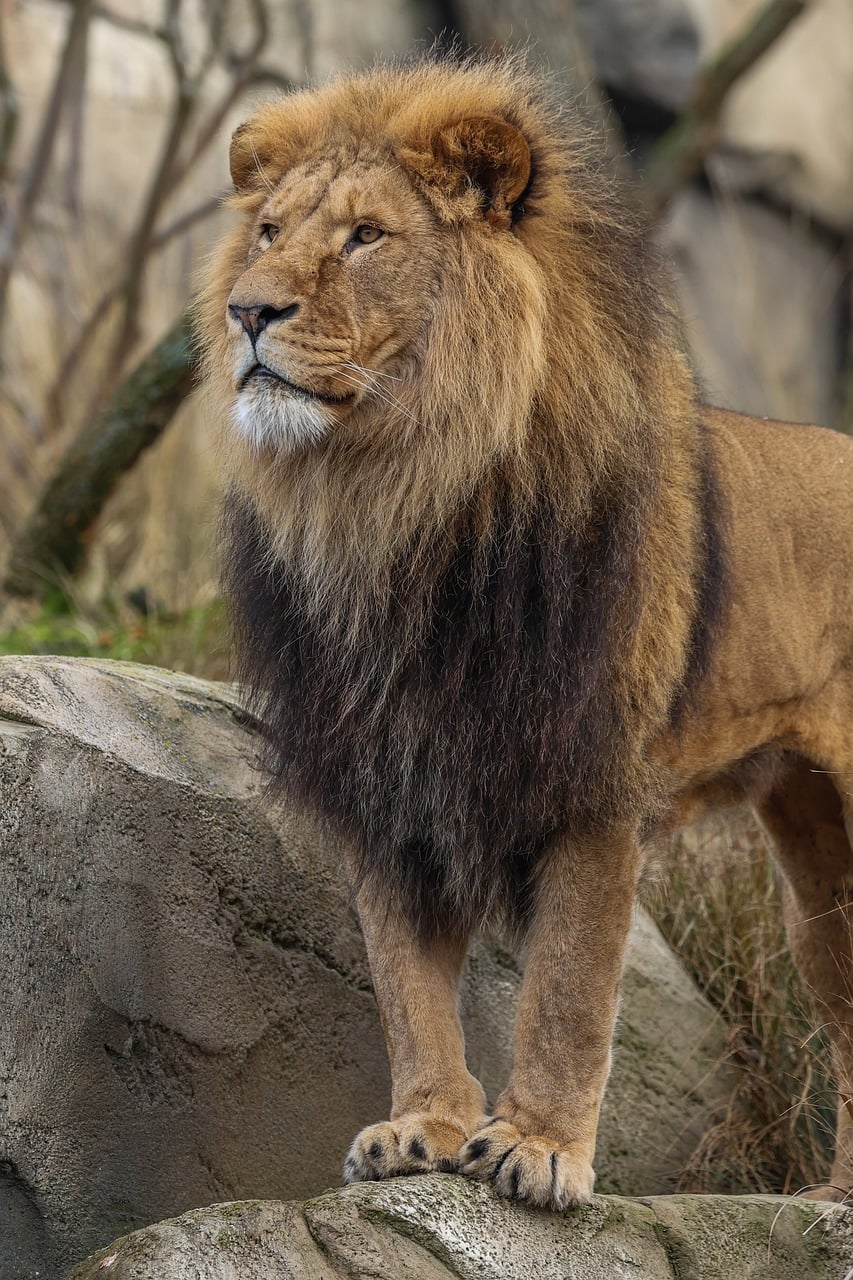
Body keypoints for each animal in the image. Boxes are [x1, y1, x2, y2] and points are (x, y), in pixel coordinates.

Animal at [199, 55, 853, 1210]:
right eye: (267, 230)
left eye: (366, 236)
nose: (246, 309)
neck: (393, 502)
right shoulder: (390, 783)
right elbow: (408, 986)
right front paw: (422, 1126)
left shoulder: (590, 781)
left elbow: (566, 989)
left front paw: (540, 1148)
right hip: (813, 874)